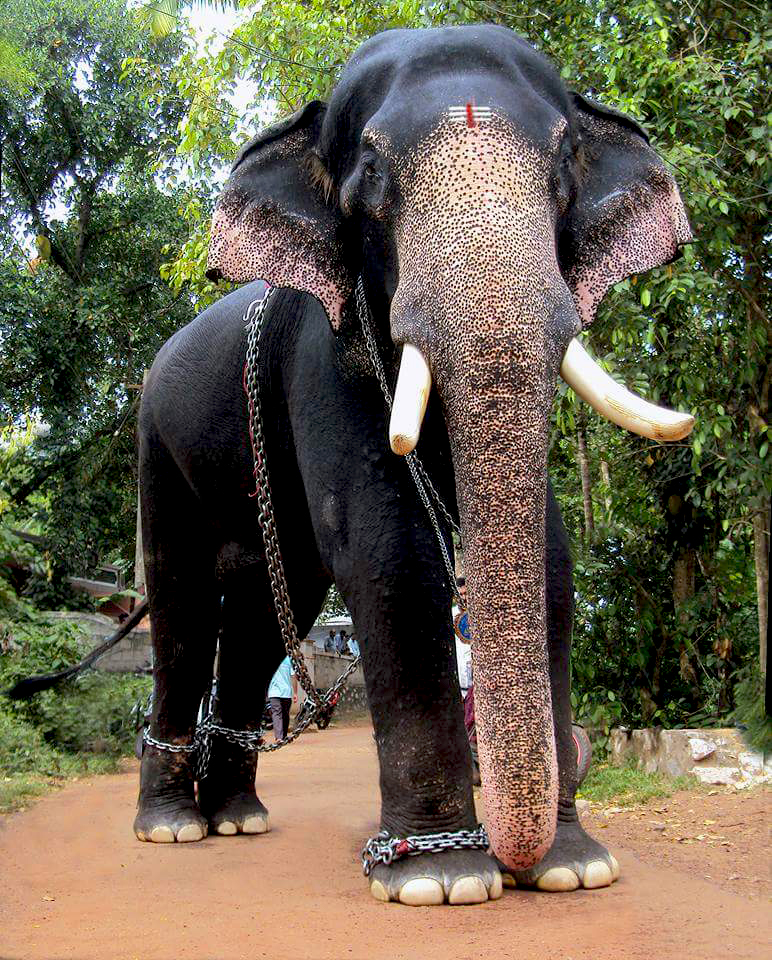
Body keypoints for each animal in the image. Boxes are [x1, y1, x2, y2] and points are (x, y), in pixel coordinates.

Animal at [135, 24, 694, 906]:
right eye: (371, 178)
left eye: (562, 171)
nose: (519, 855)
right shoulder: (321, 353)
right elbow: (385, 545)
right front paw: (444, 878)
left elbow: (554, 556)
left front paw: (573, 868)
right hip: (158, 443)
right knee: (184, 604)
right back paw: (173, 826)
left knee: (263, 607)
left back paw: (237, 818)